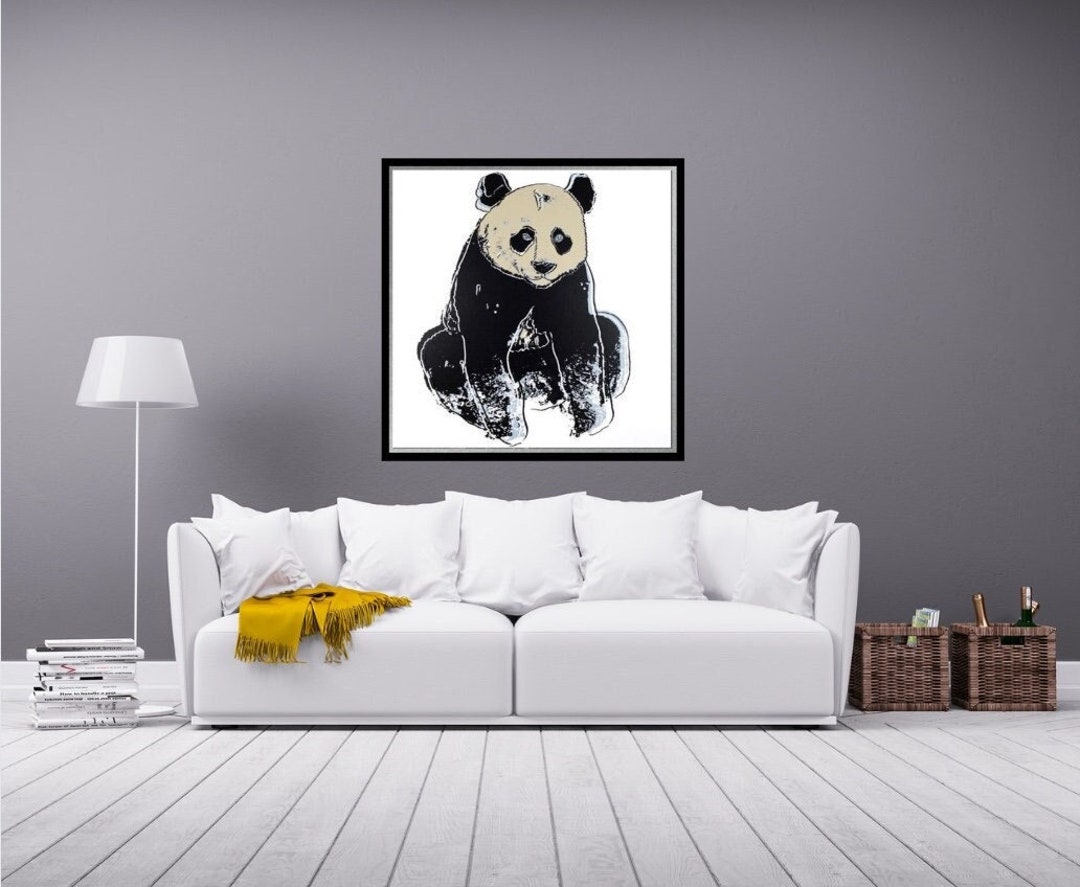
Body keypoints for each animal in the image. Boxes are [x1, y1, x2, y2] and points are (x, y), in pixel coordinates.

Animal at [417, 172, 629, 446]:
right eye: (525, 236)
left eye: (560, 237)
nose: (544, 266)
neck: (531, 285)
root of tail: (535, 391)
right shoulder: (485, 281)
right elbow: (487, 355)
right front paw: (511, 433)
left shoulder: (570, 283)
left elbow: (581, 348)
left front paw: (589, 424)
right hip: (451, 347)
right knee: (437, 351)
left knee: (611, 329)